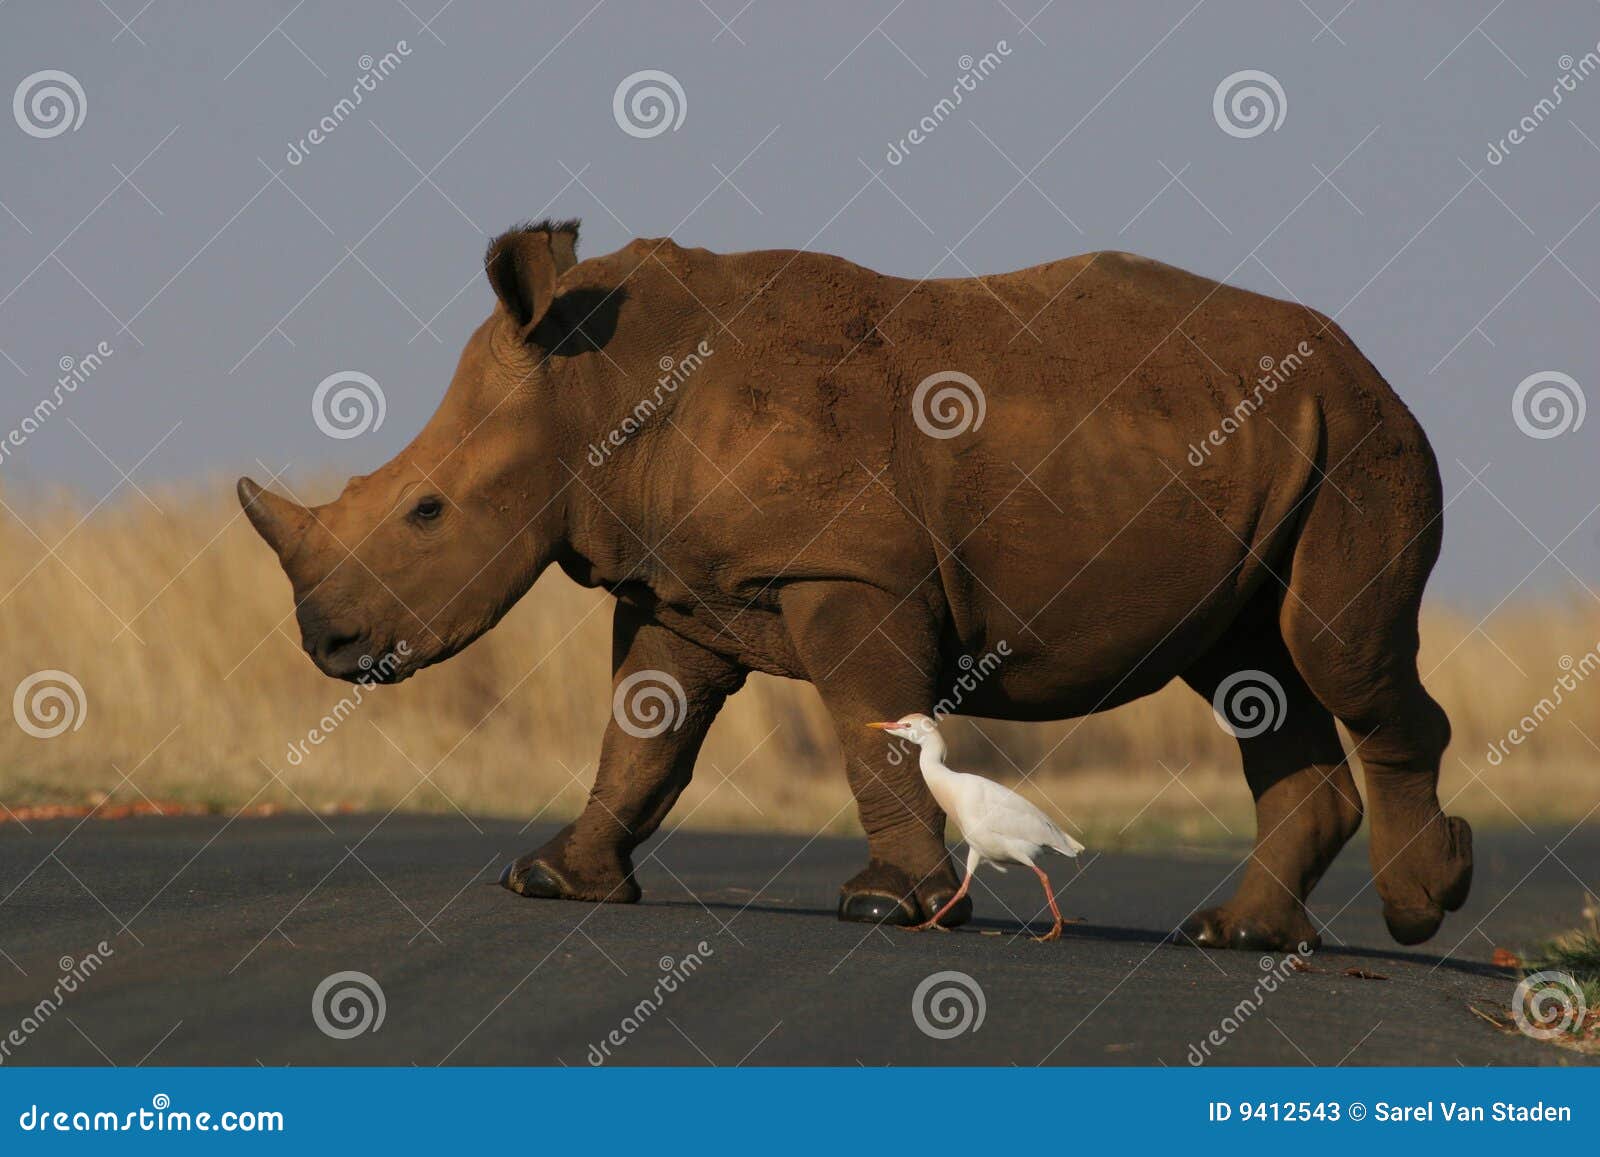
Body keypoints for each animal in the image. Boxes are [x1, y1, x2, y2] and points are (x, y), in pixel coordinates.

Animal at [238, 219, 1472, 950]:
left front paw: (888, 904)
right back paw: (1237, 933)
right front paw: (553, 880)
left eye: (426, 511)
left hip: (1365, 441)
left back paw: (1424, 907)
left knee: (1333, 654)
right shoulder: (681, 584)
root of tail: (1370, 370)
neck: (594, 391)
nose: (325, 644)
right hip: (1284, 438)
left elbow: (868, 724)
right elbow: (643, 732)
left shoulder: (848, 568)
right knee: (1251, 668)